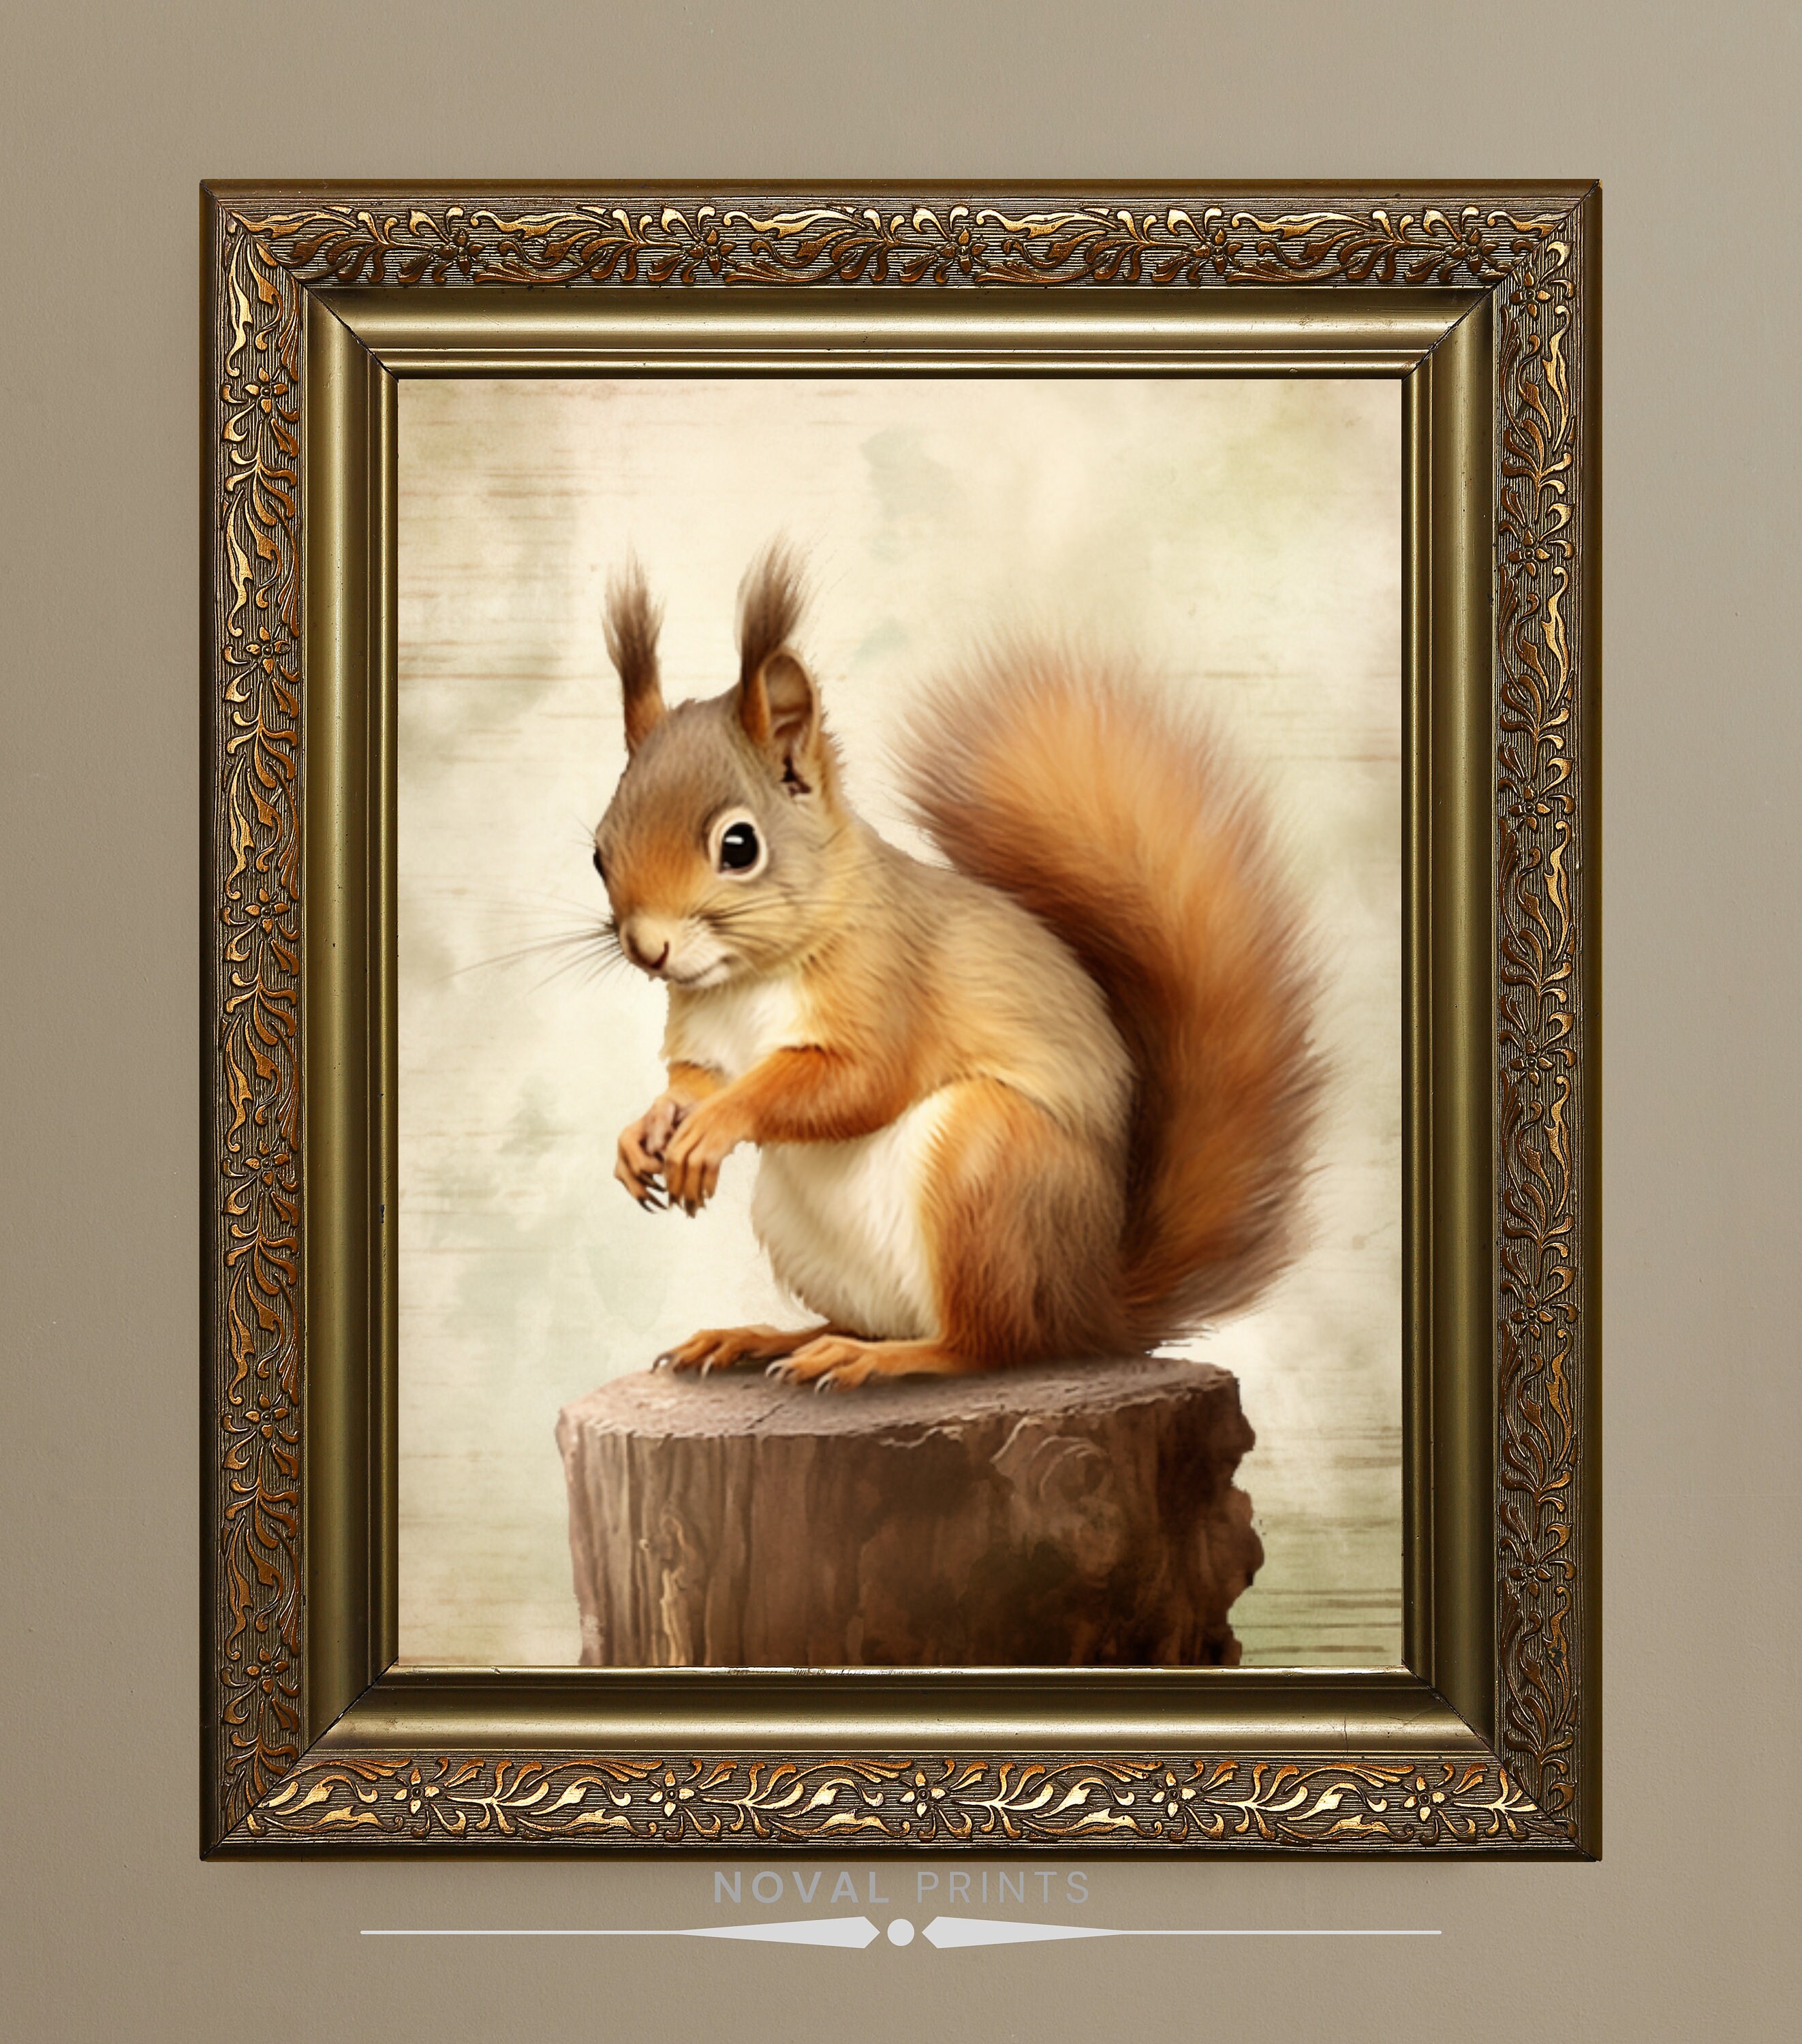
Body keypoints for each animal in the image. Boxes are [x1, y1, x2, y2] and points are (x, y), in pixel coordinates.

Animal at [592, 545, 1320, 1391]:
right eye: (599, 851)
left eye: (738, 846)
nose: (647, 948)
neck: (746, 978)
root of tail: (1090, 1309)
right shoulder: (703, 1037)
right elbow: (692, 1080)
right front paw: (646, 1130)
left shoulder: (888, 984)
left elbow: (853, 1083)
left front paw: (712, 1128)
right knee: (868, 1318)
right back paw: (765, 1339)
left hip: (986, 1166)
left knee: (986, 1343)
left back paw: (879, 1359)